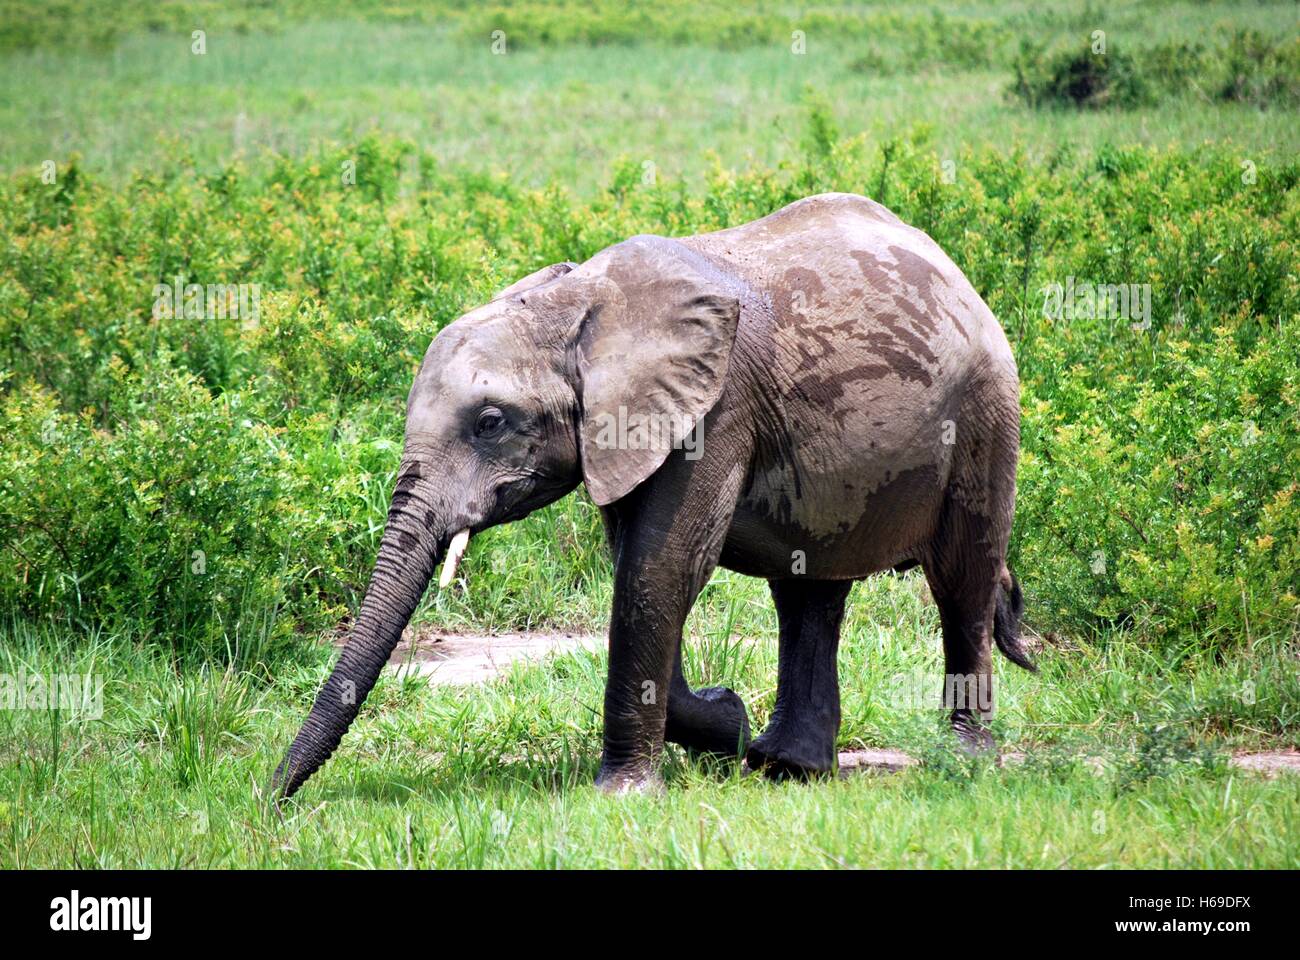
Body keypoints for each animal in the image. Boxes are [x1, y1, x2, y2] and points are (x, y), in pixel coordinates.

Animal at [271, 191, 1034, 800]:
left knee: (962, 581)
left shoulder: (718, 409)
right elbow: (640, 569)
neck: (575, 306)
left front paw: (624, 797)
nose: (270, 802)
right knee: (808, 591)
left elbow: (660, 569)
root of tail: (956, 273)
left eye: (489, 422)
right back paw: (786, 766)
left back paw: (964, 763)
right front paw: (727, 720)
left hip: (985, 413)